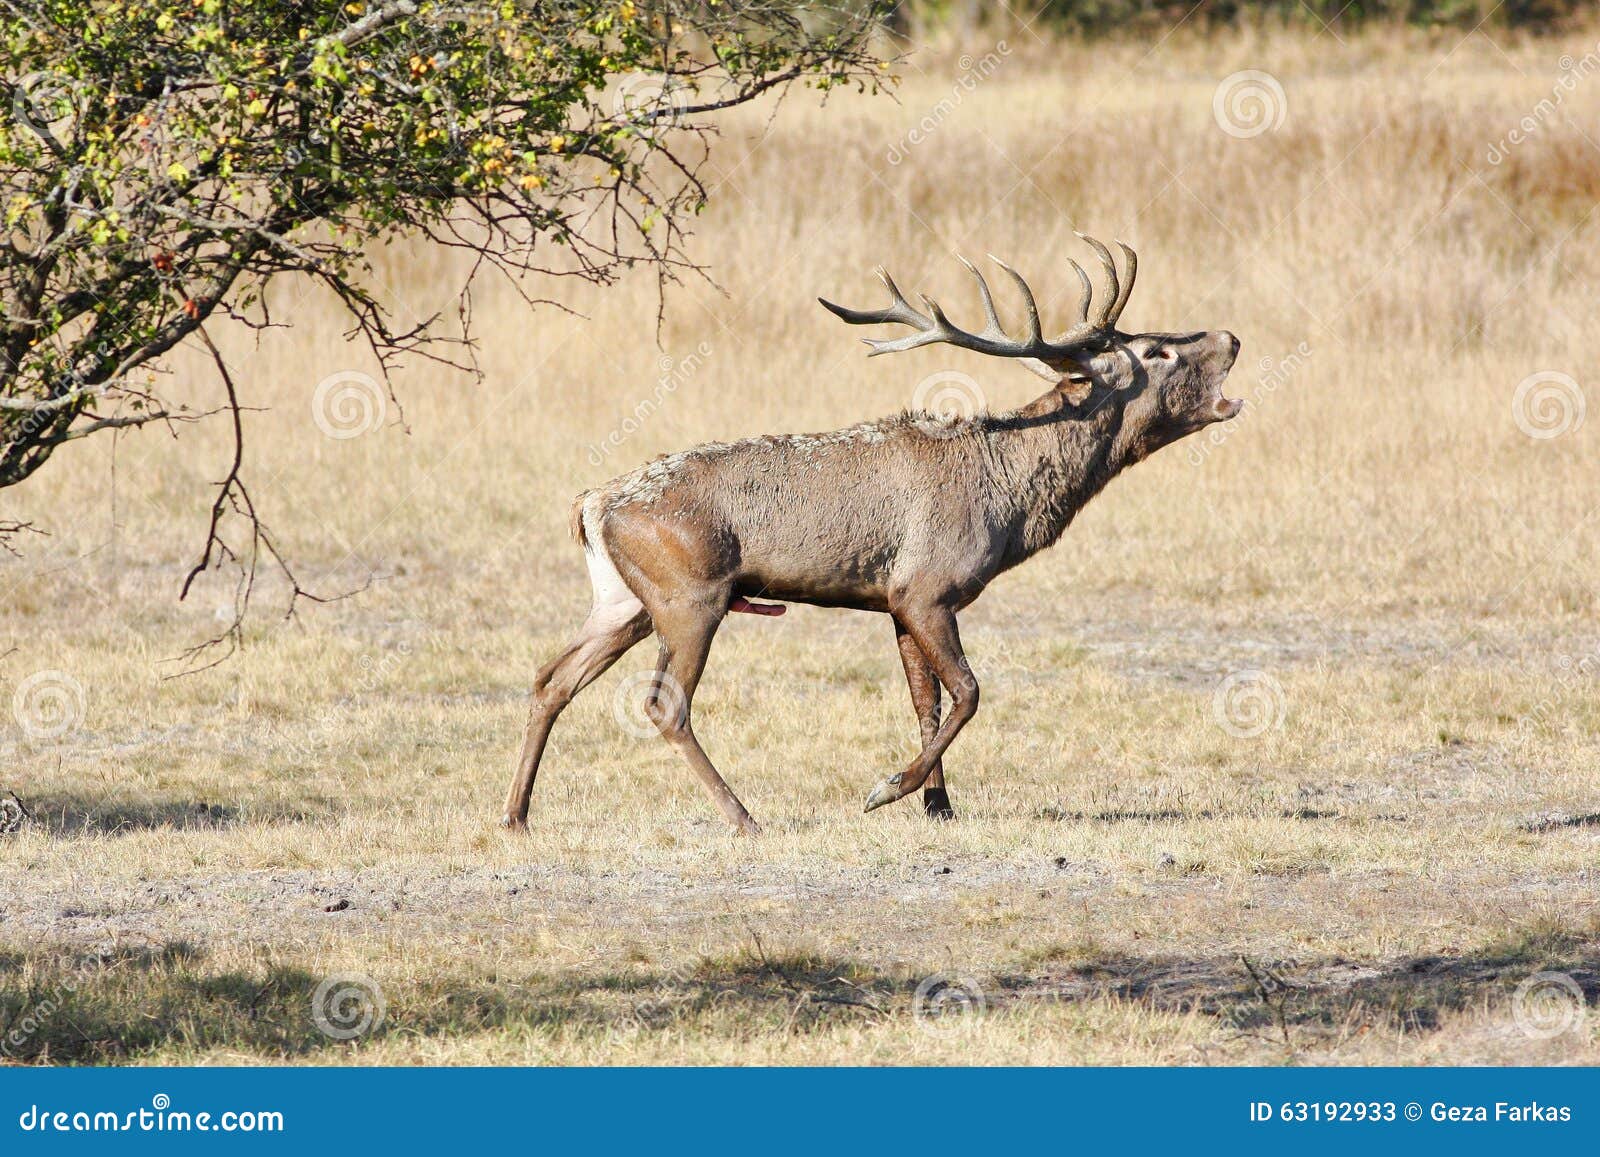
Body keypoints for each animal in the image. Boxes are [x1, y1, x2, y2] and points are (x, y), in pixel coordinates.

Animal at [502, 233, 1241, 836]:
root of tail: (592, 503)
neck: (1007, 492)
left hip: (623, 600)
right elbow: (969, 691)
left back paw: (515, 814)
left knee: (550, 679)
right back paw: (743, 816)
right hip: (690, 593)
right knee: (663, 704)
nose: (1231, 337)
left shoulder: (897, 598)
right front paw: (889, 787)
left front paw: (938, 805)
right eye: (1156, 350)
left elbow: (926, 700)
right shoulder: (926, 584)